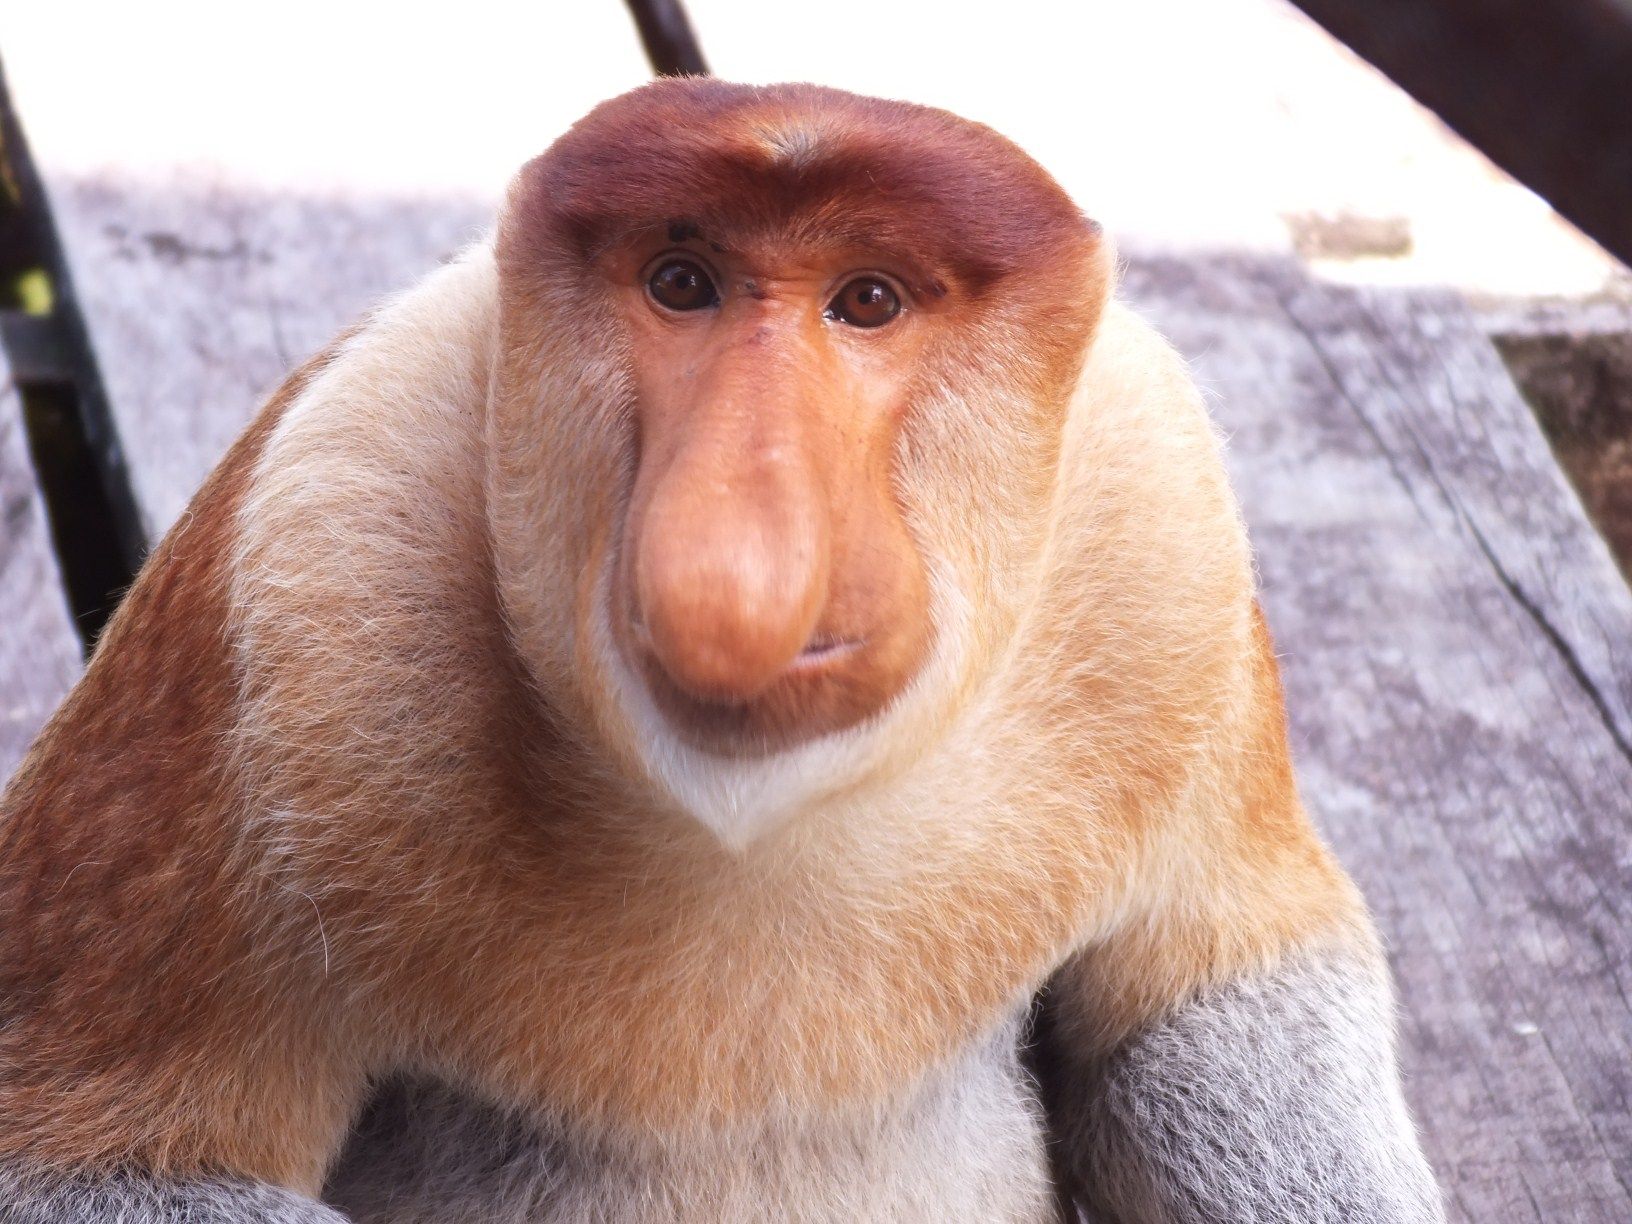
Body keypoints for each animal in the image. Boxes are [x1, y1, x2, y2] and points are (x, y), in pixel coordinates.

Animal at [0, 79, 1443, 1222]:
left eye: (869, 302)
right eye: (680, 285)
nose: (737, 558)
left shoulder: (1163, 541)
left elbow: (1210, 1002)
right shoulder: (302, 568)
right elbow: (77, 1161)